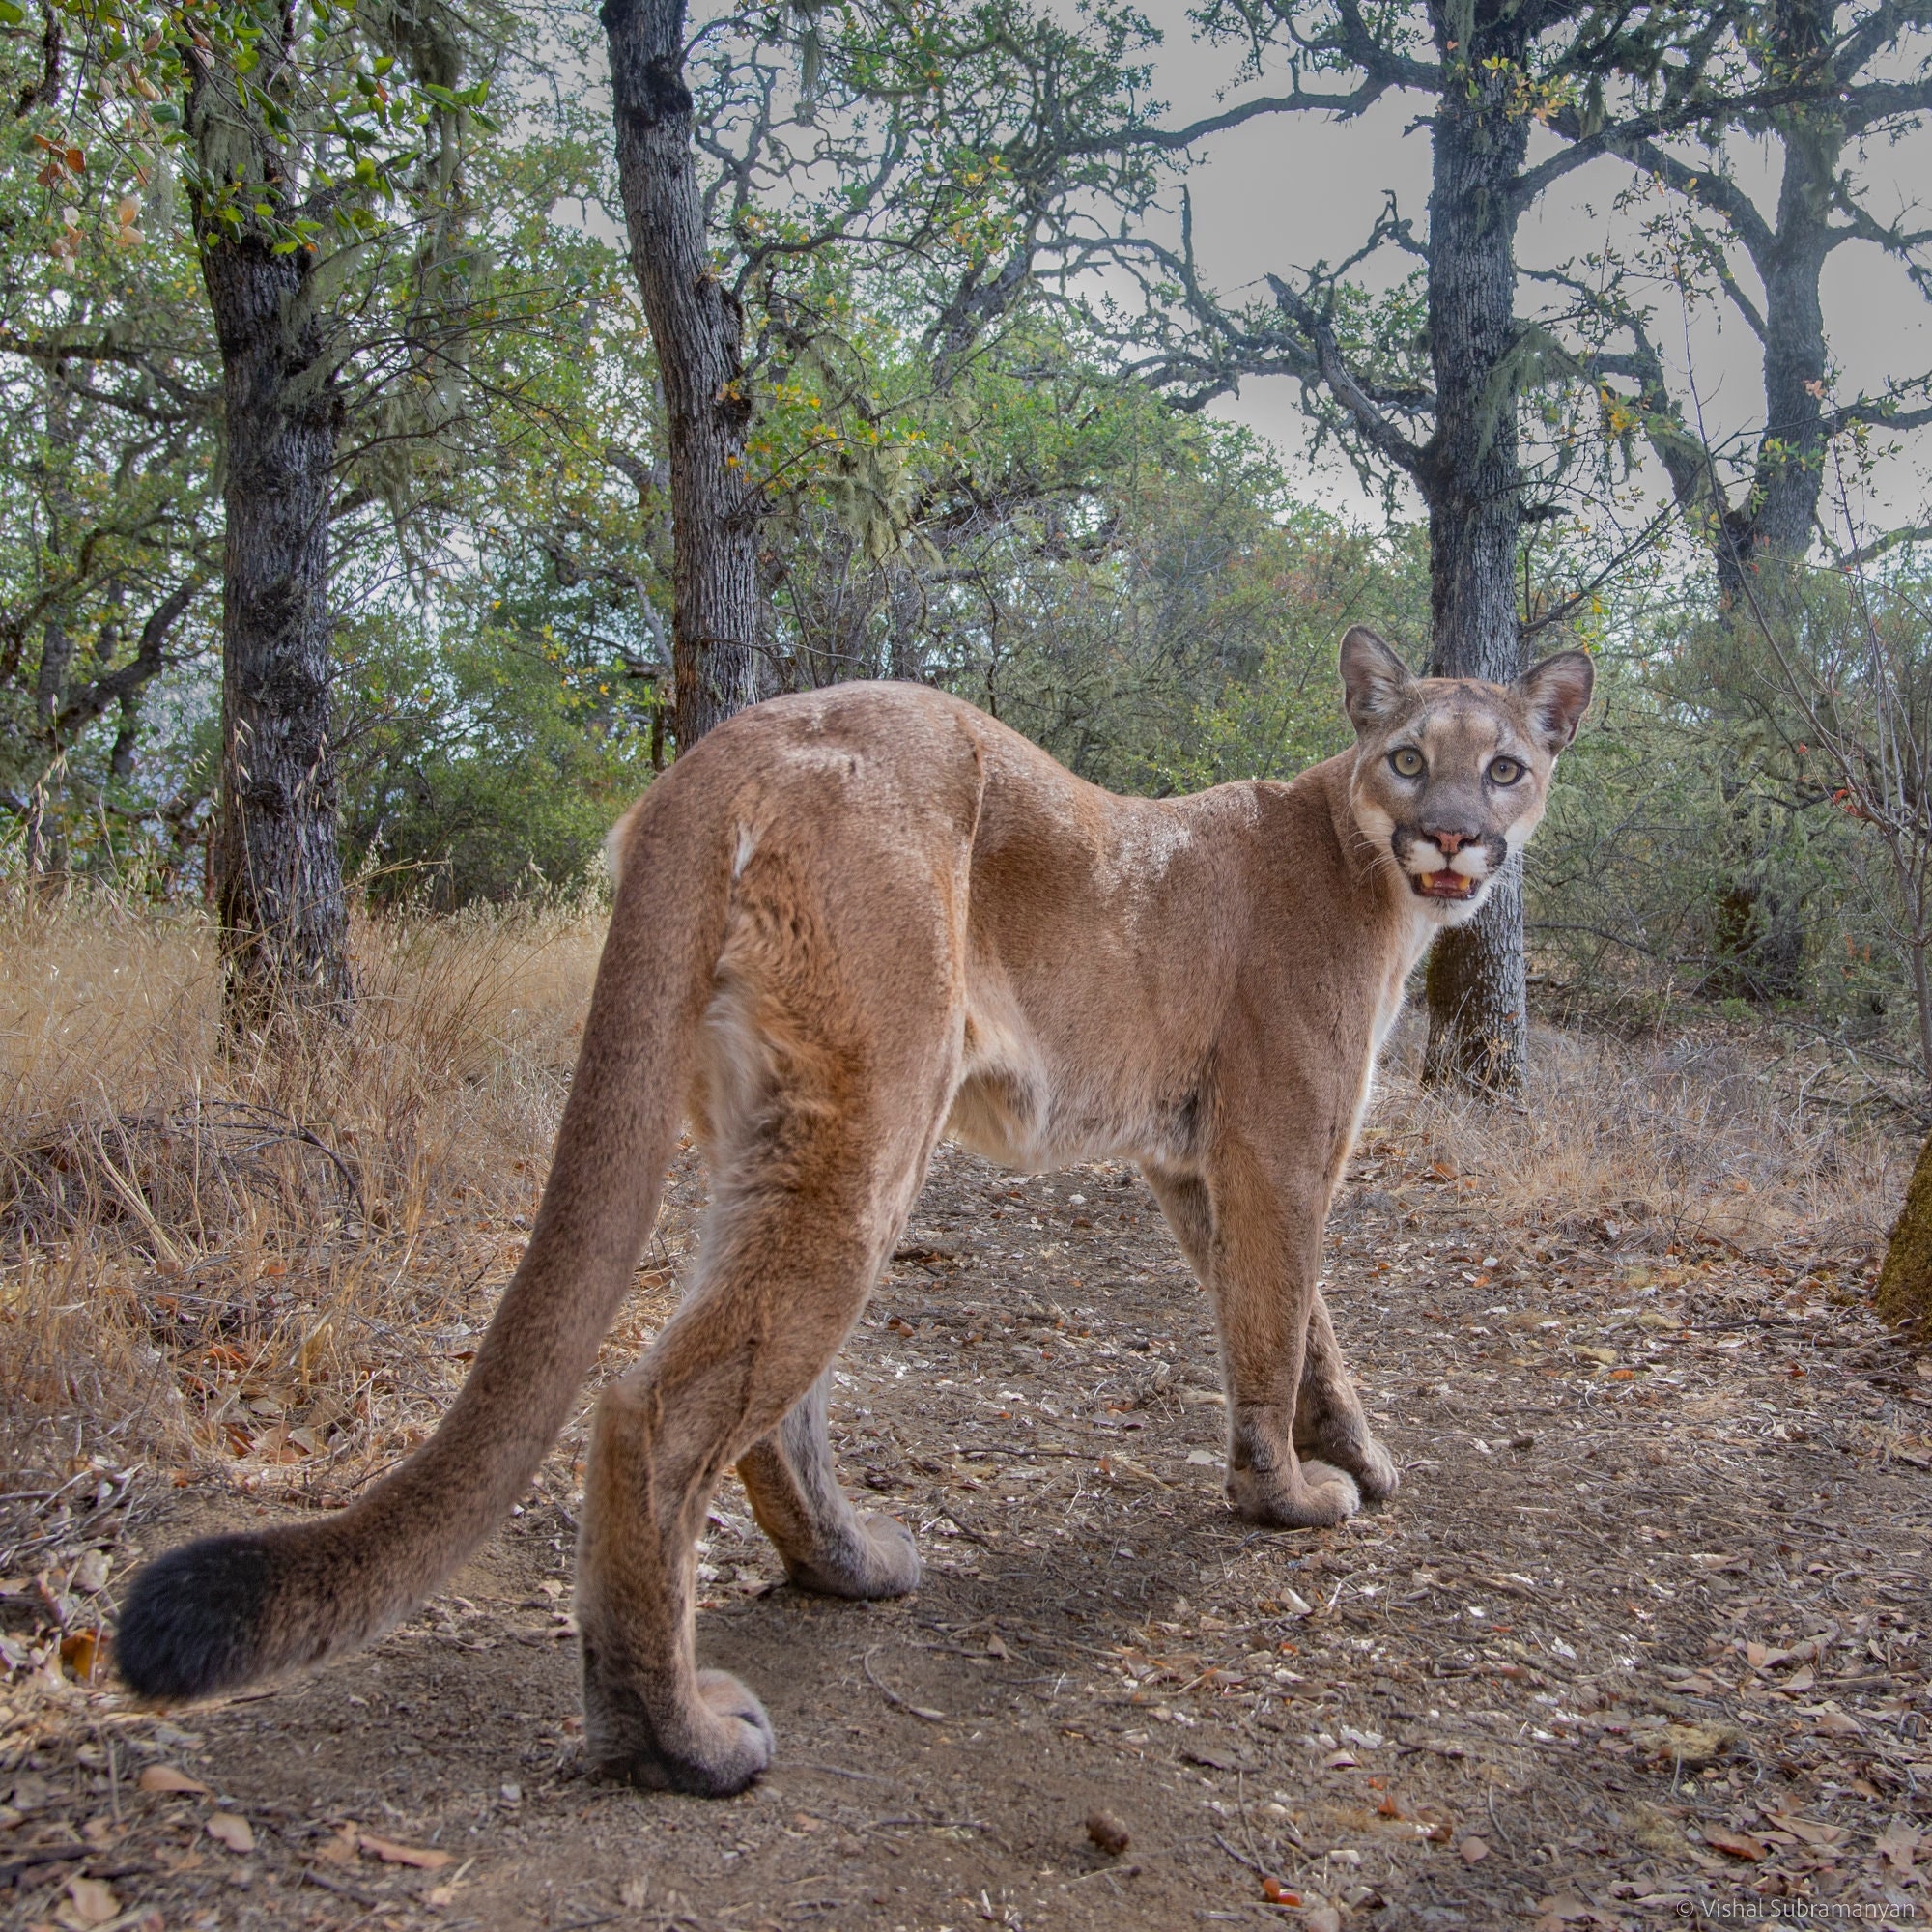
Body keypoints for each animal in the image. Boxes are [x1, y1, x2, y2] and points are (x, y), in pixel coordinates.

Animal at [117, 626, 1592, 1797]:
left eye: (1505, 767)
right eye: (1408, 757)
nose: (1453, 832)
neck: (1364, 873)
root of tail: (735, 736)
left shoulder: (1189, 1167)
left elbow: (1304, 1328)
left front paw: (1361, 1458)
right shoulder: (1275, 1150)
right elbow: (1276, 1328)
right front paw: (1284, 1496)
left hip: (781, 1130)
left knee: (771, 1403)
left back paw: (846, 1565)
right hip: (873, 1120)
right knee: (653, 1408)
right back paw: (676, 1741)